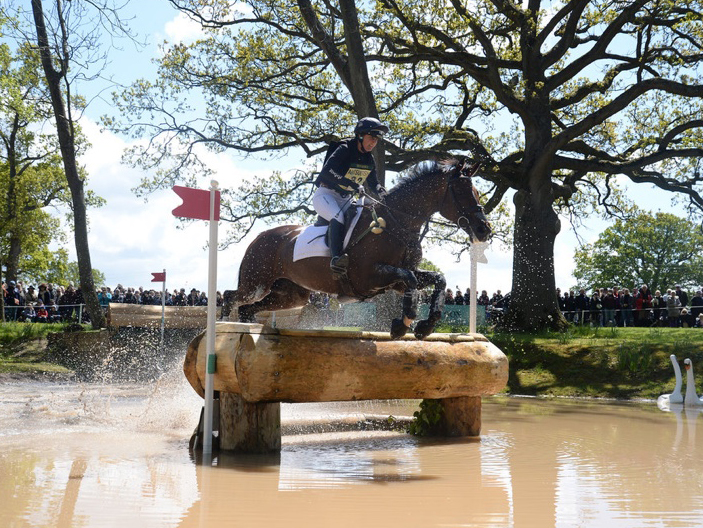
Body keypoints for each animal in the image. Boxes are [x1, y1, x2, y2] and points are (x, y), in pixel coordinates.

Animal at [223, 156, 492, 339]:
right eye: (463, 192)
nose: (484, 229)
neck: (397, 224)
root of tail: (259, 238)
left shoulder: (394, 281)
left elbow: (437, 280)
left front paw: (425, 326)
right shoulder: (368, 276)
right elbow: (412, 280)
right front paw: (402, 325)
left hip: (290, 295)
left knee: (247, 308)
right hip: (257, 283)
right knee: (230, 296)